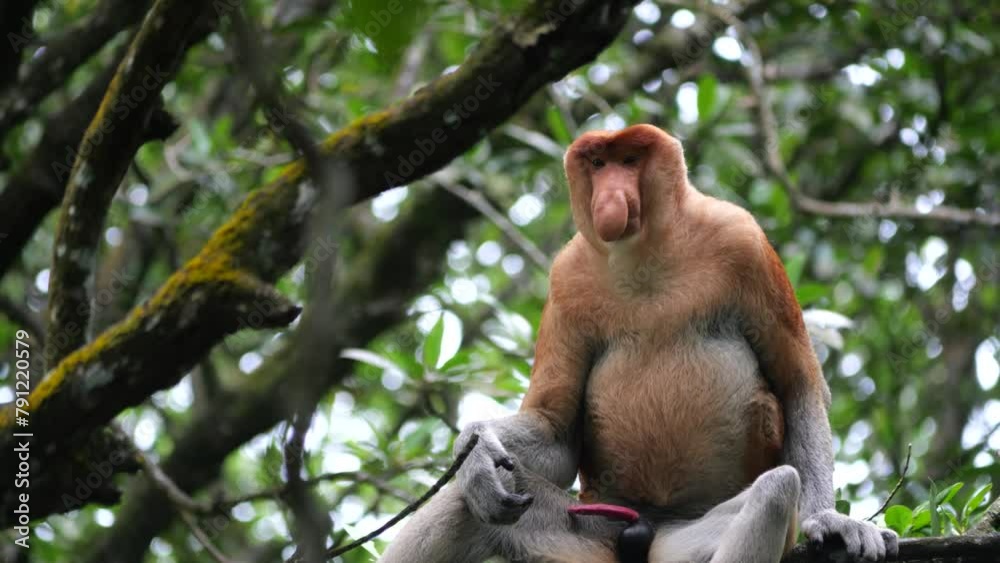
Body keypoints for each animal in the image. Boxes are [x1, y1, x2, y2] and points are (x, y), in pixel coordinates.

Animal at [379, 124, 898, 563]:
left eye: (630, 160)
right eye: (598, 163)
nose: (611, 196)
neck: (645, 254)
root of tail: (649, 529)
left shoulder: (745, 242)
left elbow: (798, 385)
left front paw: (830, 521)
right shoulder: (567, 277)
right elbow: (556, 431)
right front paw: (474, 447)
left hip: (679, 544)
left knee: (776, 489)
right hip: (589, 531)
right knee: (466, 501)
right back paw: (476, 479)